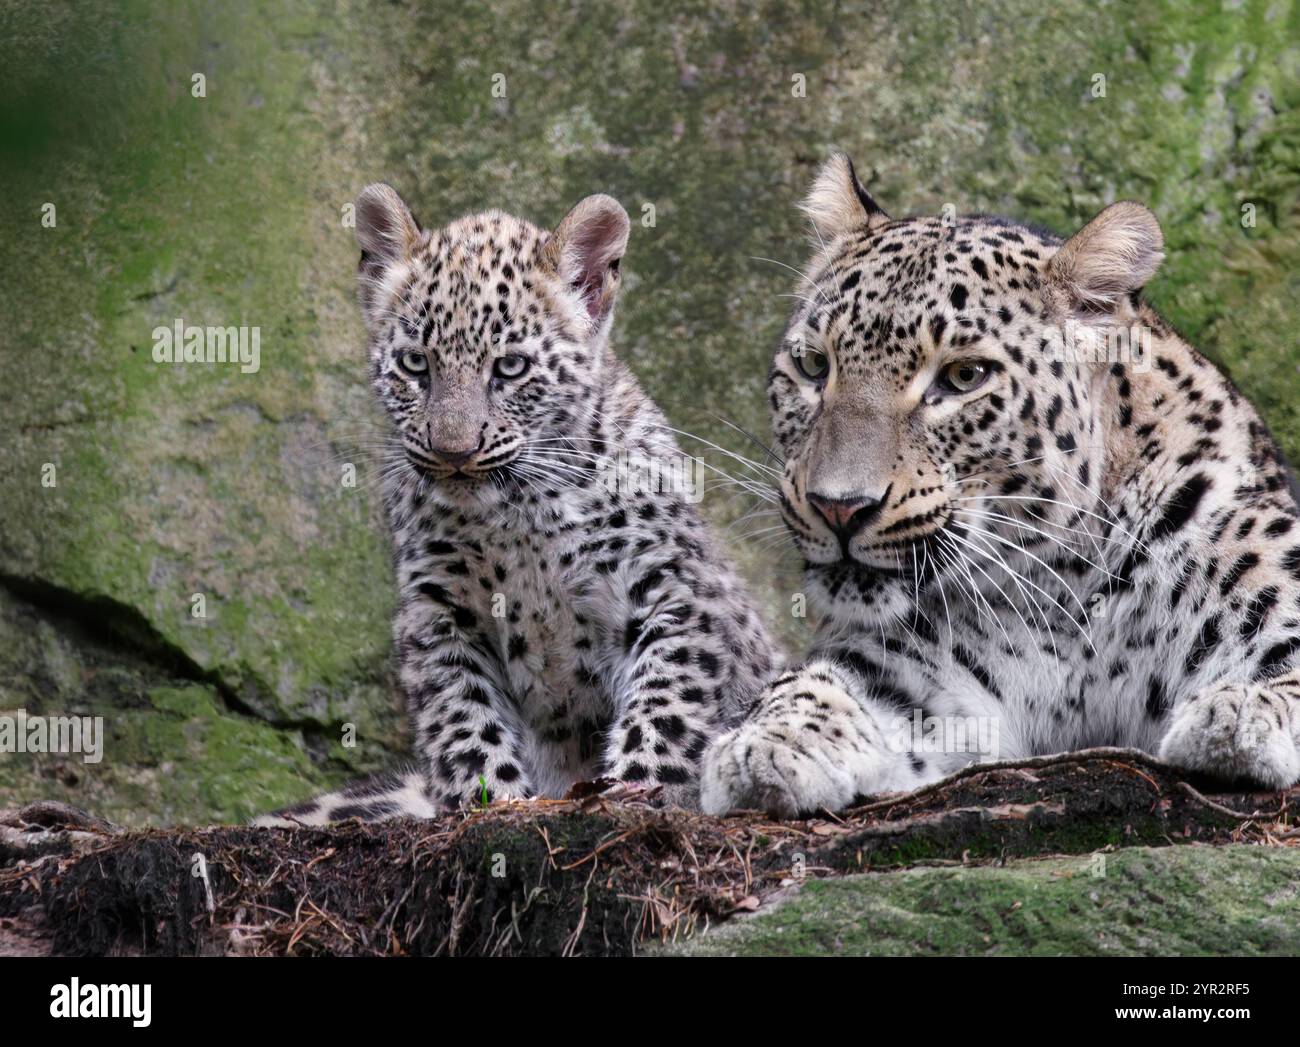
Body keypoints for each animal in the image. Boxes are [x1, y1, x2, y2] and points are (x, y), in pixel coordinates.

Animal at [257, 185, 776, 825]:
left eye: (509, 367)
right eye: (414, 364)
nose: (453, 452)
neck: (518, 517)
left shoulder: (671, 590)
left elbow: (668, 704)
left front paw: (643, 785)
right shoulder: (437, 612)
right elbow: (462, 718)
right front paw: (490, 798)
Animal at [701, 153, 1300, 817]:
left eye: (964, 377)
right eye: (812, 366)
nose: (839, 508)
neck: (1062, 592)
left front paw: (1239, 713)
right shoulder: (914, 678)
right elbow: (821, 683)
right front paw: (768, 742)